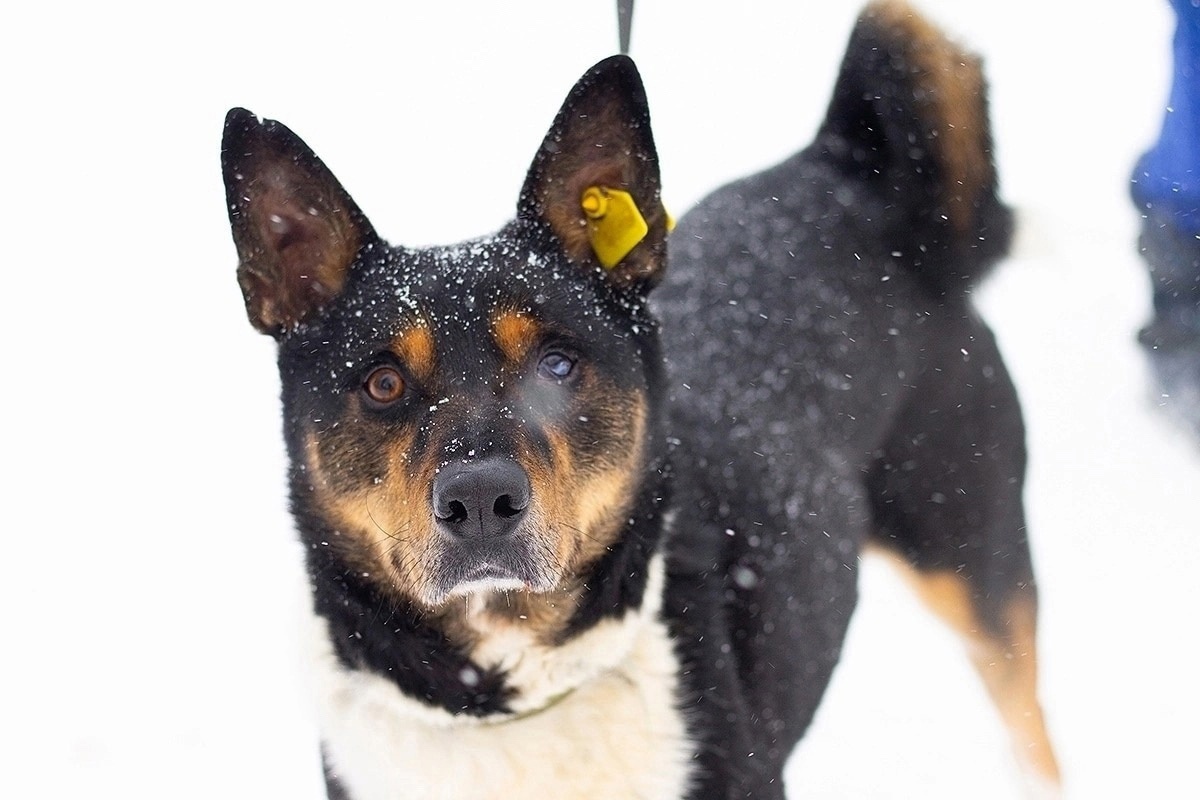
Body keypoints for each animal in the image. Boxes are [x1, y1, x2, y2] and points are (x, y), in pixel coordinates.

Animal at [223, 1, 1060, 800]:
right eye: (384, 383)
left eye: (558, 363)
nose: (481, 501)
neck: (513, 704)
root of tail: (847, 175)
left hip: (972, 547)